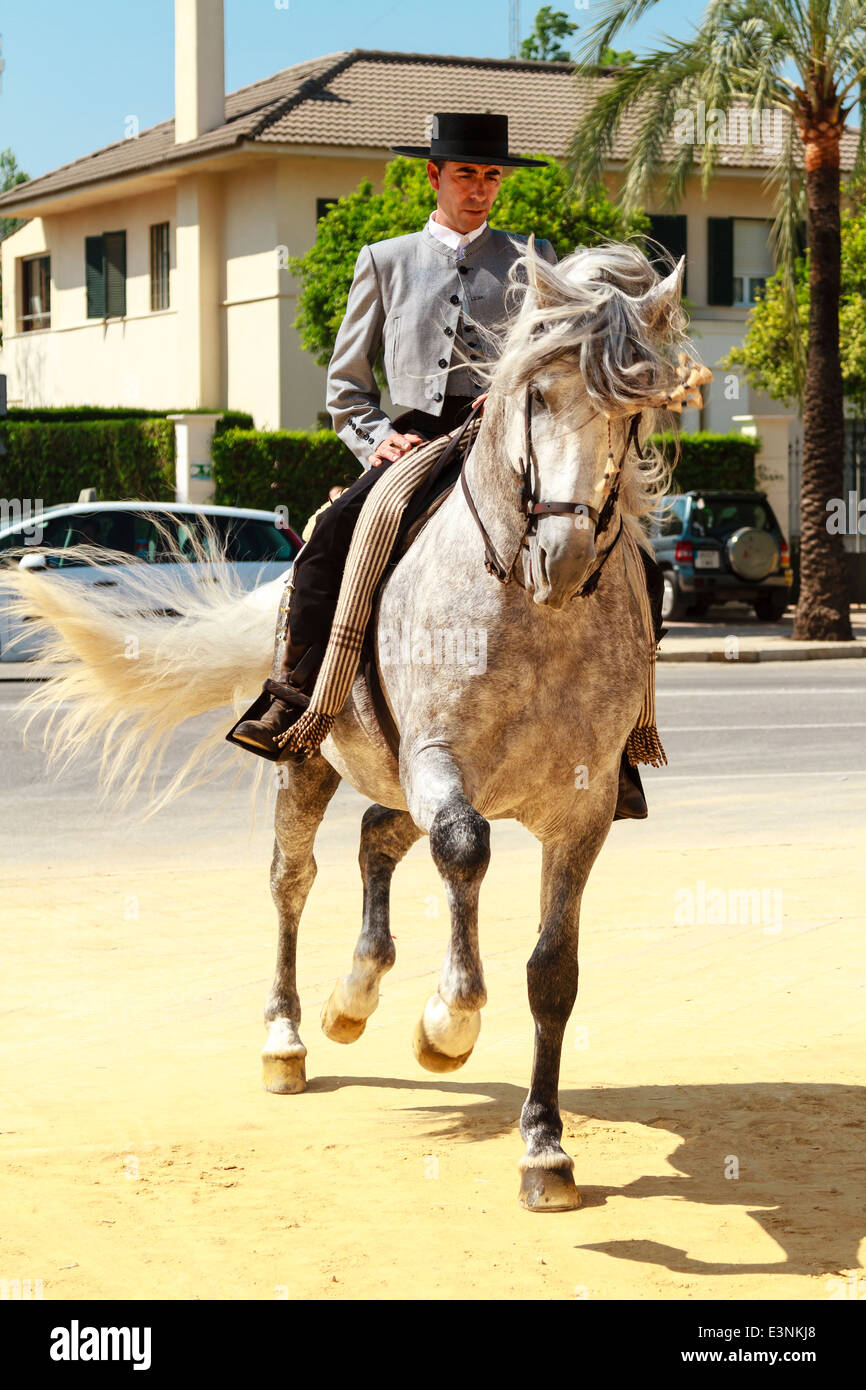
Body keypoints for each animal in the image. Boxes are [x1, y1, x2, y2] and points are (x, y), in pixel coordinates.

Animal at [4, 241, 699, 1211]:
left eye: (632, 414)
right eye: (536, 394)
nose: (559, 559)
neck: (530, 610)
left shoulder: (584, 810)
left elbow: (551, 973)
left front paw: (545, 1148)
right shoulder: (441, 762)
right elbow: (464, 852)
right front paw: (446, 1024)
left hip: (395, 775)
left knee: (378, 835)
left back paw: (355, 994)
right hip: (311, 762)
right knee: (294, 879)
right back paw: (291, 1037)